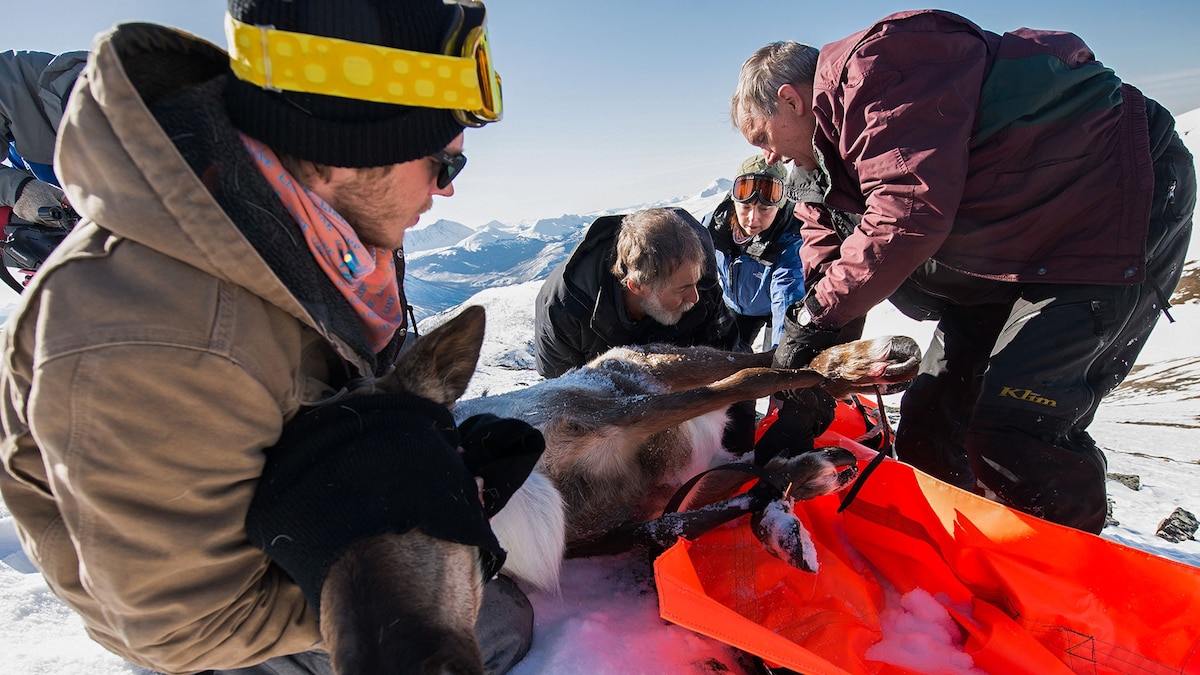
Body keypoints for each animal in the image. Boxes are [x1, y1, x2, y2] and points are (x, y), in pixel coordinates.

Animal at [317, 304, 920, 674]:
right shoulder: (601, 532)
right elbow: (671, 525)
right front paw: (795, 497)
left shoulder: (620, 414)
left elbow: (761, 378)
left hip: (666, 369)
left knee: (761, 361)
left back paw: (869, 360)